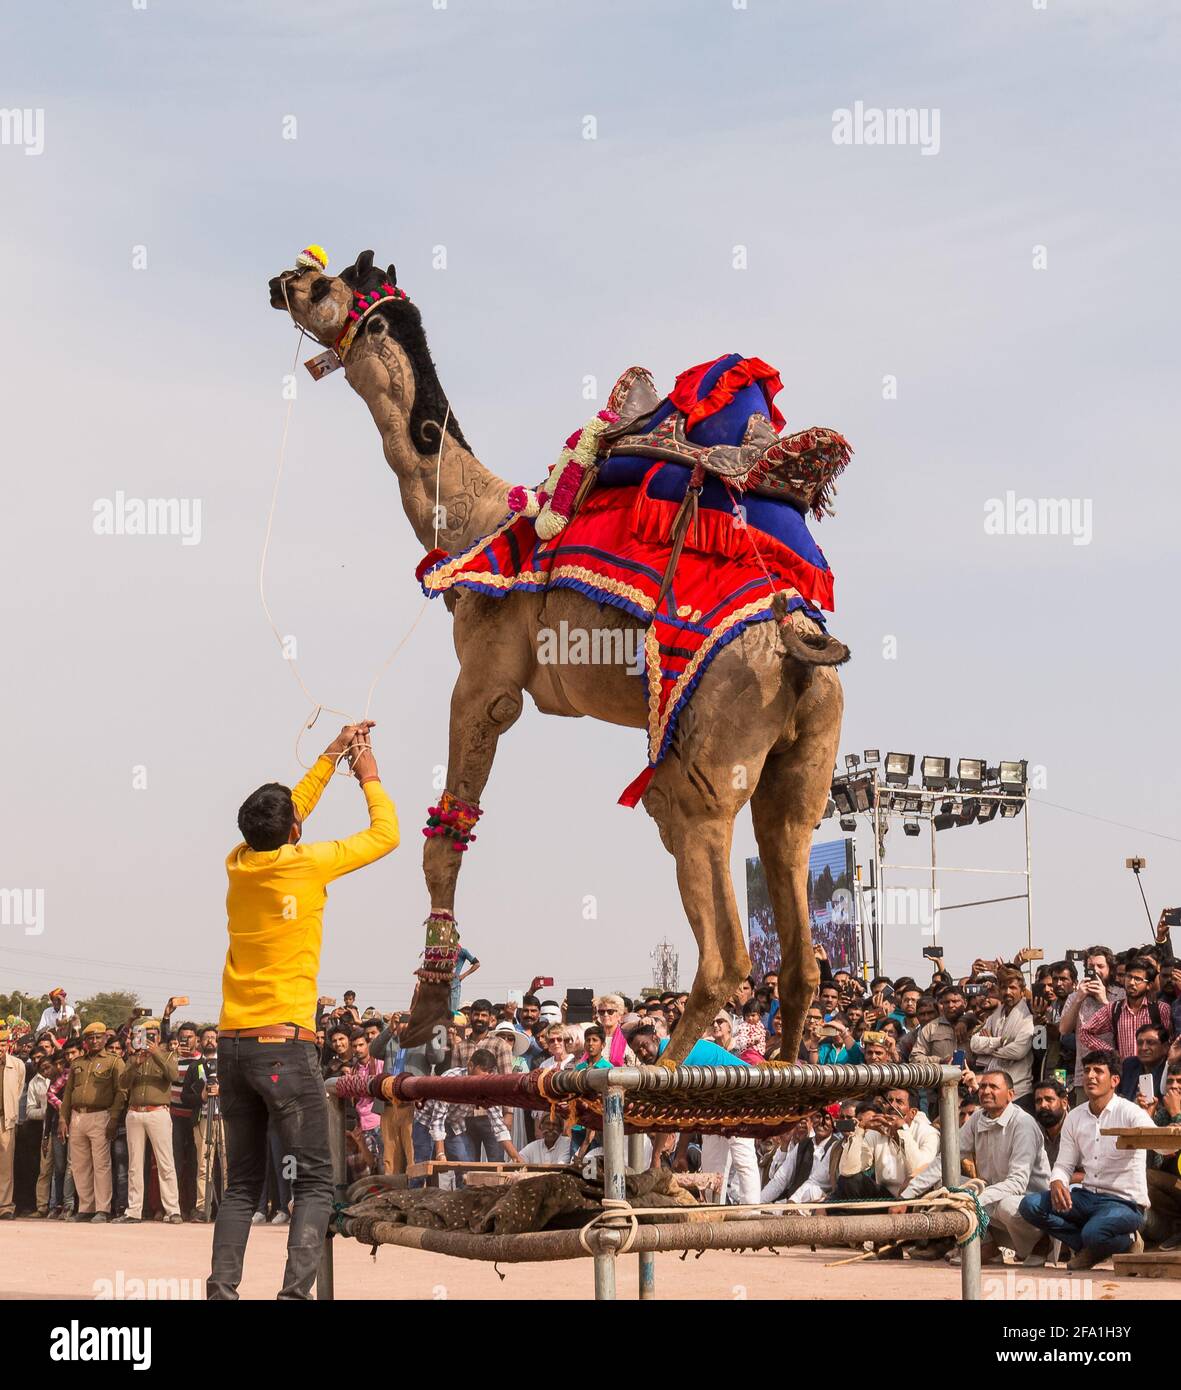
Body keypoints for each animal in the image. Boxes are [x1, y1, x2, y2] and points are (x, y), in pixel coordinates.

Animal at [267, 249, 849, 1066]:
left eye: (324, 284)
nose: (277, 283)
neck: (477, 520)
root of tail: (801, 646)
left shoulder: (485, 677)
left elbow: (446, 833)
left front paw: (423, 1017)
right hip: (803, 762)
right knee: (795, 940)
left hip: (705, 762)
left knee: (727, 951)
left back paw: (657, 1076)